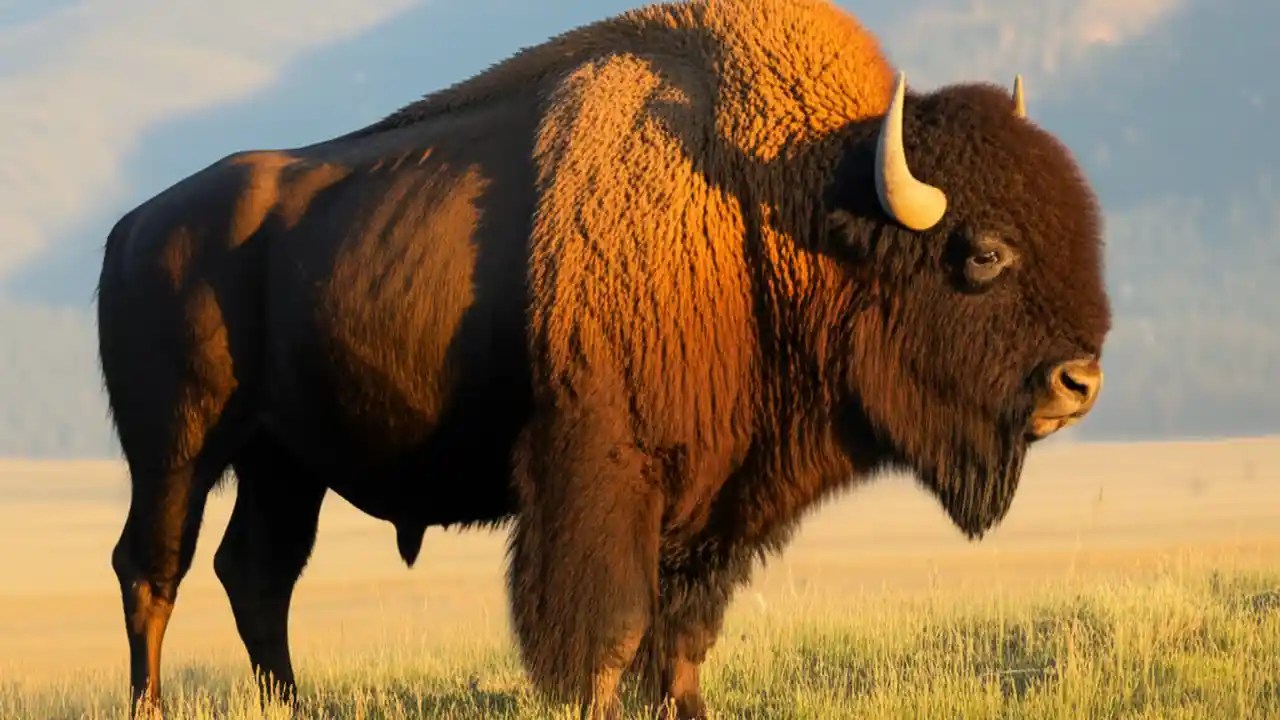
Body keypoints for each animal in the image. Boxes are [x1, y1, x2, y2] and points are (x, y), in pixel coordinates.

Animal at [96, 0, 1110, 717]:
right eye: (983, 253)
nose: (1081, 382)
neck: (774, 210)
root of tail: (135, 227)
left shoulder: (718, 496)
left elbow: (685, 632)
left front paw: (689, 710)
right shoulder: (605, 468)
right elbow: (613, 630)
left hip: (285, 464)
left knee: (257, 576)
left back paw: (294, 706)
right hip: (177, 452)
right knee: (153, 570)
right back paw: (152, 707)